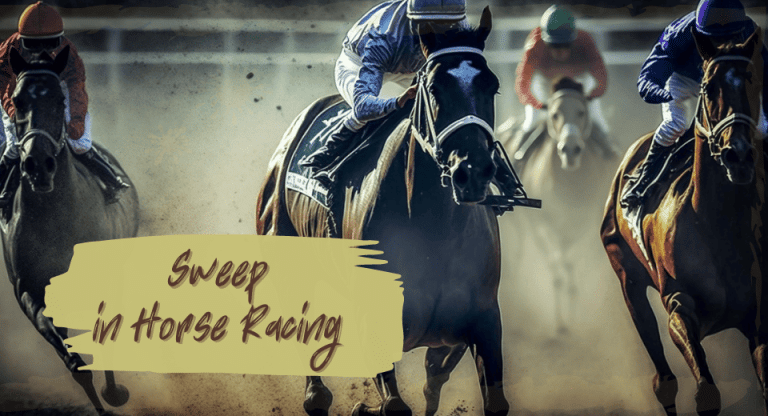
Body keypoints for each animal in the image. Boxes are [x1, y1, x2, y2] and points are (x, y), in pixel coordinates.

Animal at [0, 47, 140, 415]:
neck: (56, 217)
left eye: (59, 100)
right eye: (17, 100)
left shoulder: (102, 280)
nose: (38, 164)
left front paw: (115, 393)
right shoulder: (31, 292)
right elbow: (76, 365)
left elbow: (103, 335)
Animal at [256, 8, 510, 416]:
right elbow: (393, 403)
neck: (436, 230)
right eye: (434, 89)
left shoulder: (484, 317)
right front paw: (365, 405)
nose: (471, 171)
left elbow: (478, 393)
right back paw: (318, 395)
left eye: (493, 87)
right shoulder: (376, 316)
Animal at [498, 76, 620, 334]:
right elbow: (558, 267)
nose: (570, 150)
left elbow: (575, 263)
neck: (568, 183)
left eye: (582, 112)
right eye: (554, 114)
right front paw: (562, 322)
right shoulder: (541, 225)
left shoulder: (587, 221)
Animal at [600, 28, 766, 415]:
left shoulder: (760, 318)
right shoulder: (680, 307)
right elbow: (706, 393)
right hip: (628, 278)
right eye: (708, 86)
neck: (719, 225)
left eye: (753, 79)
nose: (737, 154)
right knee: (664, 381)